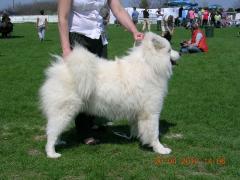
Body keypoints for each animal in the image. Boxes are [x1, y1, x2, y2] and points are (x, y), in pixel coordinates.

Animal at [39, 32, 180, 158]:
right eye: (169, 50)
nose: (180, 53)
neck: (150, 65)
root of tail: (59, 69)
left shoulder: (138, 112)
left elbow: (136, 127)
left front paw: (135, 138)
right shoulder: (151, 112)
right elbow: (154, 133)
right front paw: (160, 149)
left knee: (54, 130)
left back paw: (59, 142)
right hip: (64, 111)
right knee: (51, 132)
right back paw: (52, 153)